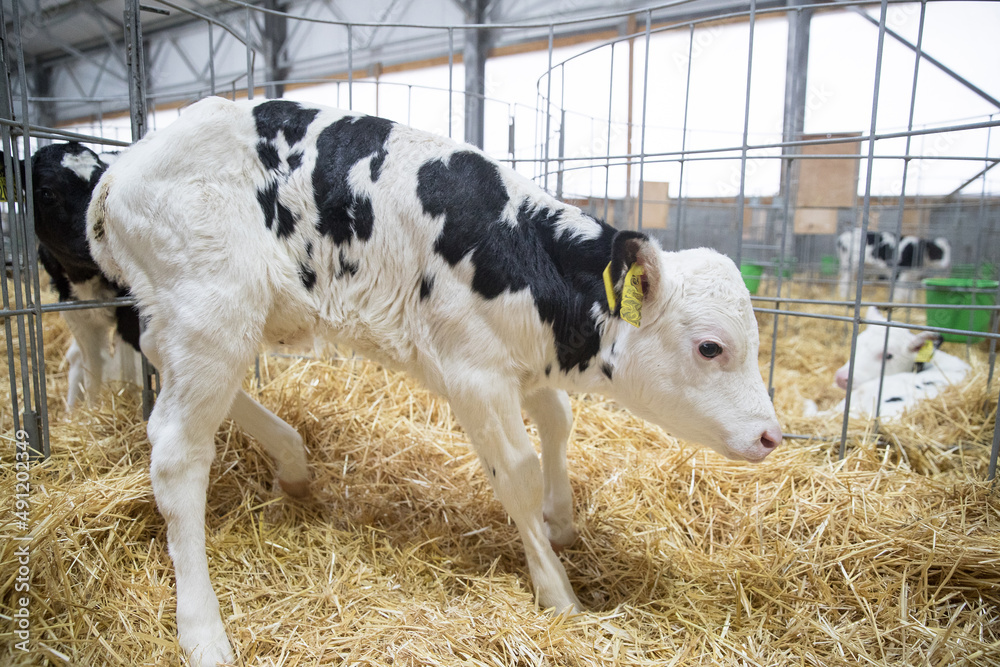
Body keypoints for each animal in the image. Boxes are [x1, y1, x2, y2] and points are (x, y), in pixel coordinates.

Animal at [87, 96, 783, 666]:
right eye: (711, 347)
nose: (772, 436)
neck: (516, 252)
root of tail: (125, 165)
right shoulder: (474, 374)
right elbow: (518, 472)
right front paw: (557, 590)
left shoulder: (524, 361)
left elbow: (559, 421)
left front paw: (561, 518)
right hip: (214, 311)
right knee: (177, 453)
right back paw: (204, 633)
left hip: (208, 320)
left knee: (159, 354)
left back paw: (292, 460)